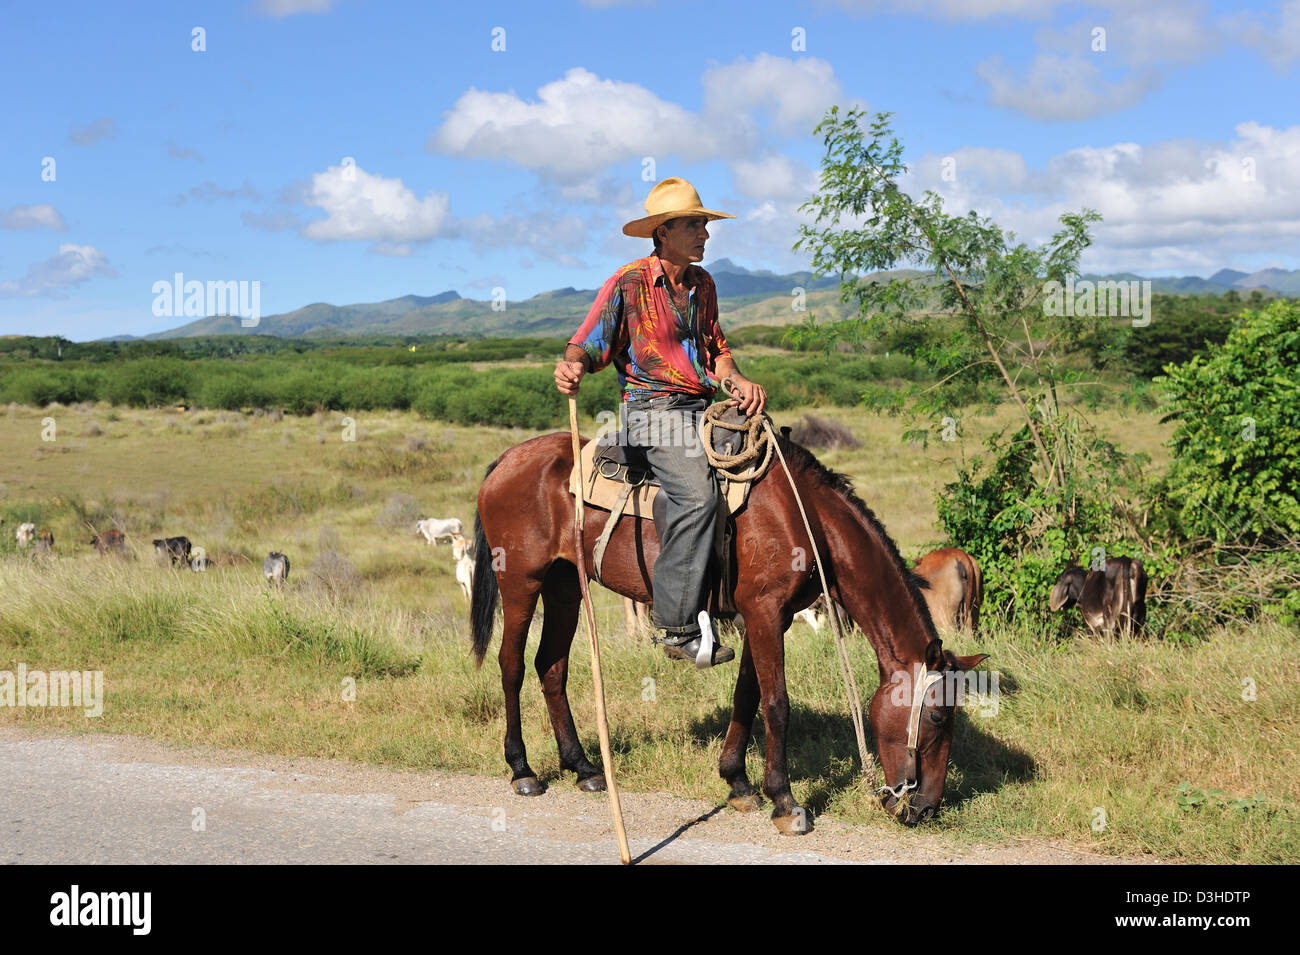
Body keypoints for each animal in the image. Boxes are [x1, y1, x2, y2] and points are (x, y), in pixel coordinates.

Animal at [469, 430, 987, 832]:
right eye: (937, 718)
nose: (925, 808)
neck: (805, 518)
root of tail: (505, 461)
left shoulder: (767, 617)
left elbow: (747, 696)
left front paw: (738, 783)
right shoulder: (764, 613)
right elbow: (777, 705)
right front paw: (785, 802)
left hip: (564, 586)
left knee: (551, 668)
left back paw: (581, 767)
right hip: (521, 582)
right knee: (512, 666)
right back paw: (522, 770)